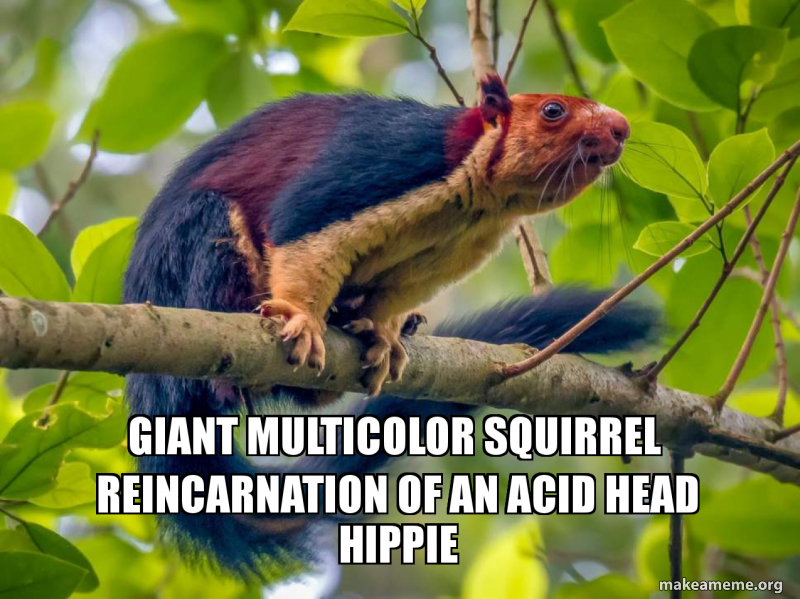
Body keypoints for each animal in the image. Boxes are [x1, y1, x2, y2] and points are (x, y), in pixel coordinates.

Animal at [123, 75, 657, 578]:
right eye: (553, 110)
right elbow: (302, 225)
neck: (482, 199)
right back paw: (232, 375)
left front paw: (382, 334)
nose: (622, 128)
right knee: (210, 231)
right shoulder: (388, 161)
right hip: (189, 261)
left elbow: (396, 293)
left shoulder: (452, 251)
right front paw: (302, 318)